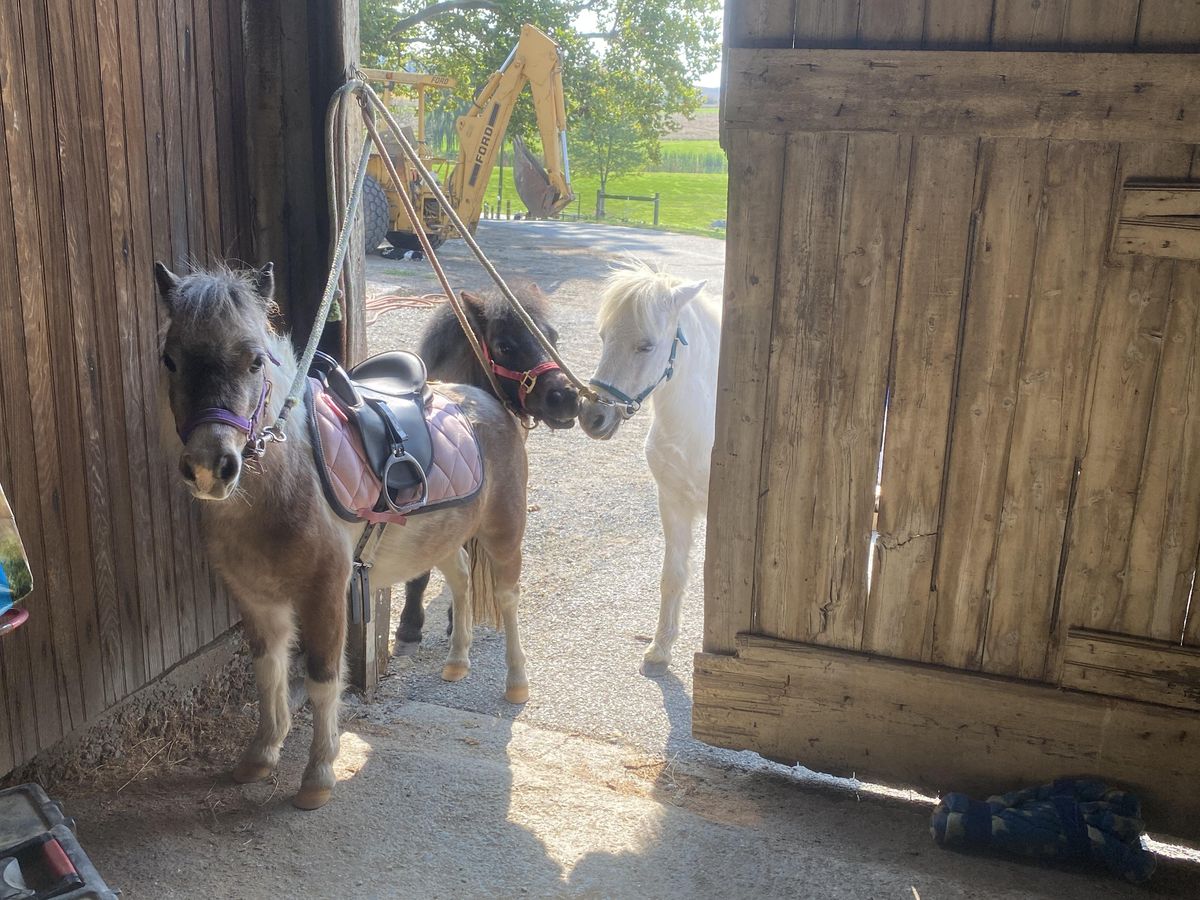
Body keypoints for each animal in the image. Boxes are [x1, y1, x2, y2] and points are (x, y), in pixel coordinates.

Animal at [153, 262, 531, 809]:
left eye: (254, 360)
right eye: (171, 359)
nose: (210, 468)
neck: (289, 483)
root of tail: (484, 398)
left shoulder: (325, 594)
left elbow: (321, 679)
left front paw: (317, 775)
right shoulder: (256, 600)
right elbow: (268, 671)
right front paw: (260, 755)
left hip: (505, 532)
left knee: (505, 598)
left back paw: (517, 683)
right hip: (440, 537)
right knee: (460, 576)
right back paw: (457, 663)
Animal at [578, 259, 718, 676]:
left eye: (647, 345)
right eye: (604, 336)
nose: (592, 417)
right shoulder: (672, 504)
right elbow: (673, 576)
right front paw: (660, 648)